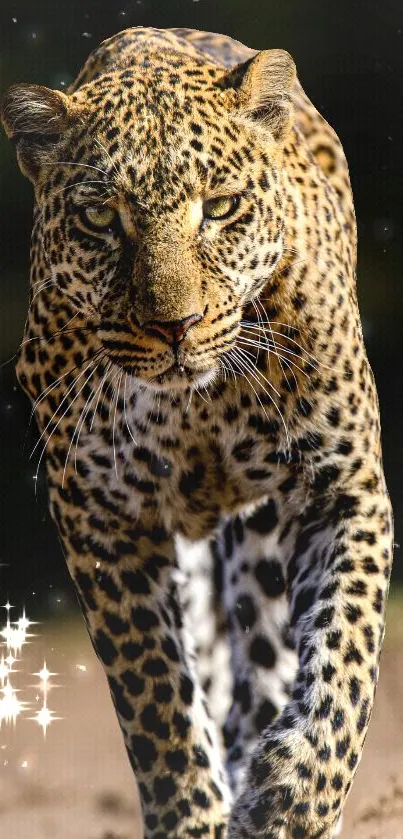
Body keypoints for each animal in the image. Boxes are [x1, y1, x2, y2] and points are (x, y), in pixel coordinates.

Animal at [1, 25, 393, 839]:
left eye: (219, 207)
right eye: (101, 219)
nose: (173, 327)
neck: (195, 409)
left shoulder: (342, 489)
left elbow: (345, 653)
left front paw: (293, 798)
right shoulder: (100, 517)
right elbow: (155, 695)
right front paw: (193, 814)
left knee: (269, 660)